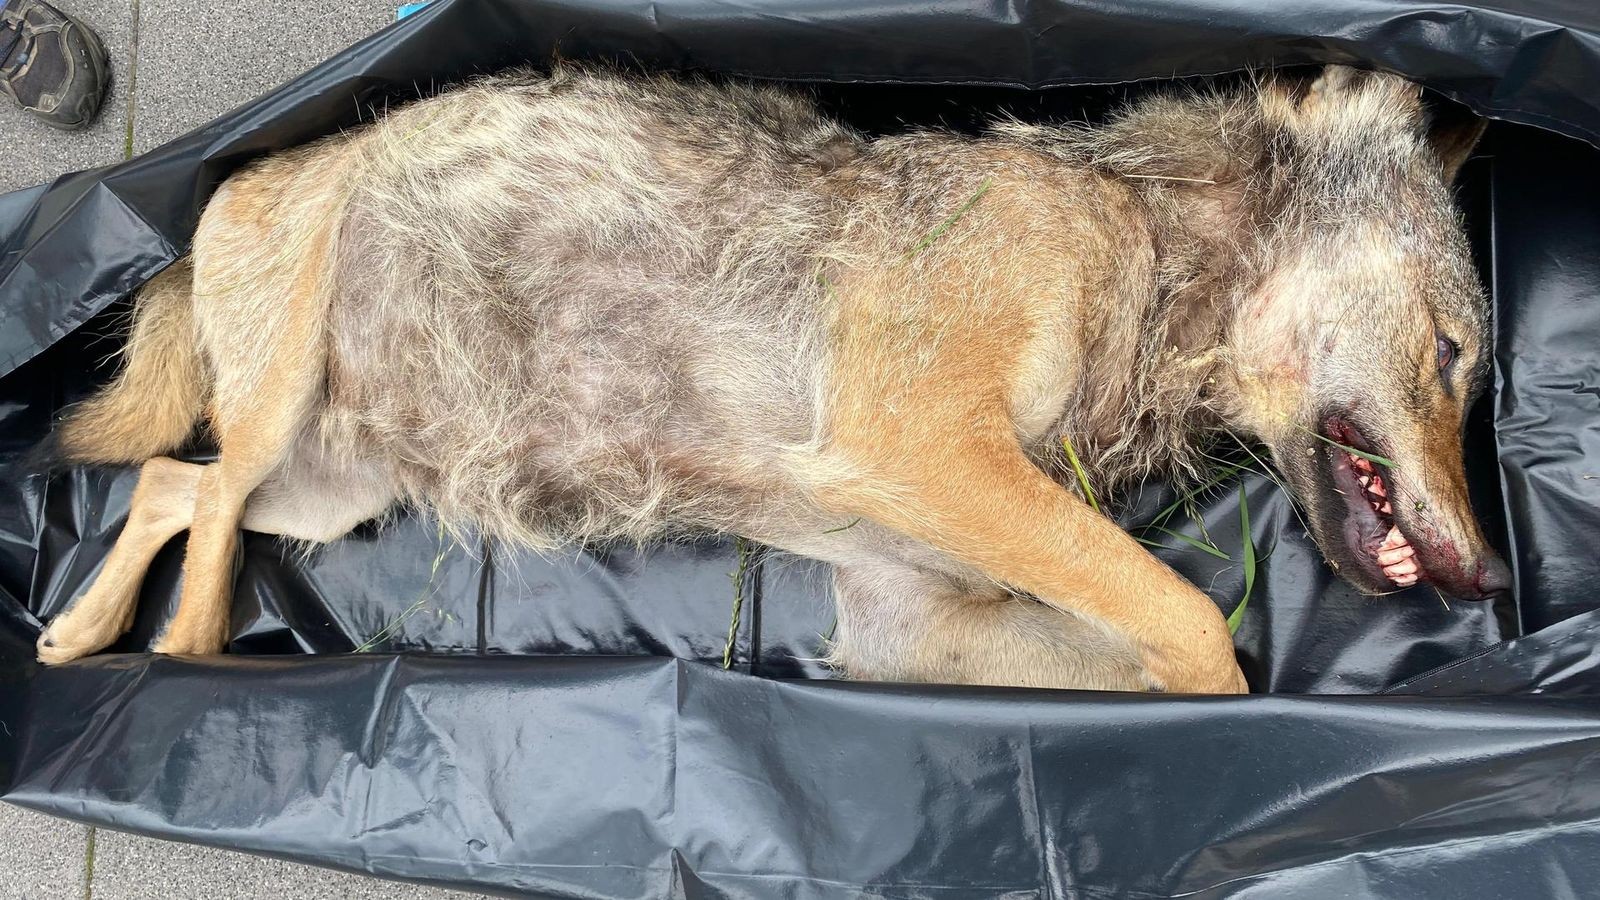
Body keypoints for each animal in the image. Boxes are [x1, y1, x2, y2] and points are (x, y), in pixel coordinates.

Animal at [33, 64, 1506, 694]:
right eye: (1455, 357)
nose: (1495, 579)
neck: (1139, 248)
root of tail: (221, 186)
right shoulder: (919, 449)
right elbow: (1203, 626)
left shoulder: (907, 620)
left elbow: (1183, 655)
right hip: (291, 413)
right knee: (202, 522)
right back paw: (173, 649)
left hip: (332, 490)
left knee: (169, 480)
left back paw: (79, 631)